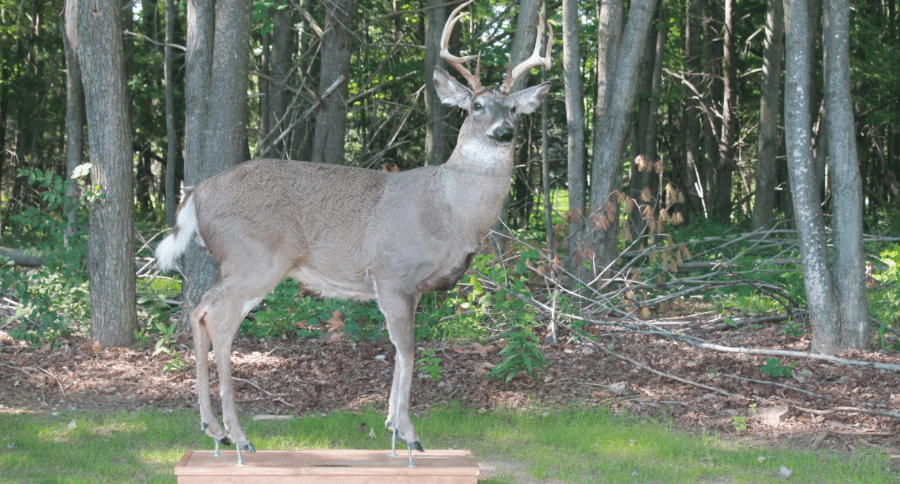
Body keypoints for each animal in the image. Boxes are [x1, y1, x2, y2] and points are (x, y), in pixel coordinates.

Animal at [155, 0, 551, 467]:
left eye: (514, 110)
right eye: (477, 106)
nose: (504, 133)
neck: (450, 212)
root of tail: (197, 192)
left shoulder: (412, 288)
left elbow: (400, 350)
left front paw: (394, 431)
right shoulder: (392, 272)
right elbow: (409, 348)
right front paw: (410, 433)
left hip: (234, 265)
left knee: (199, 311)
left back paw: (213, 431)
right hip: (255, 259)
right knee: (219, 321)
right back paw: (239, 438)